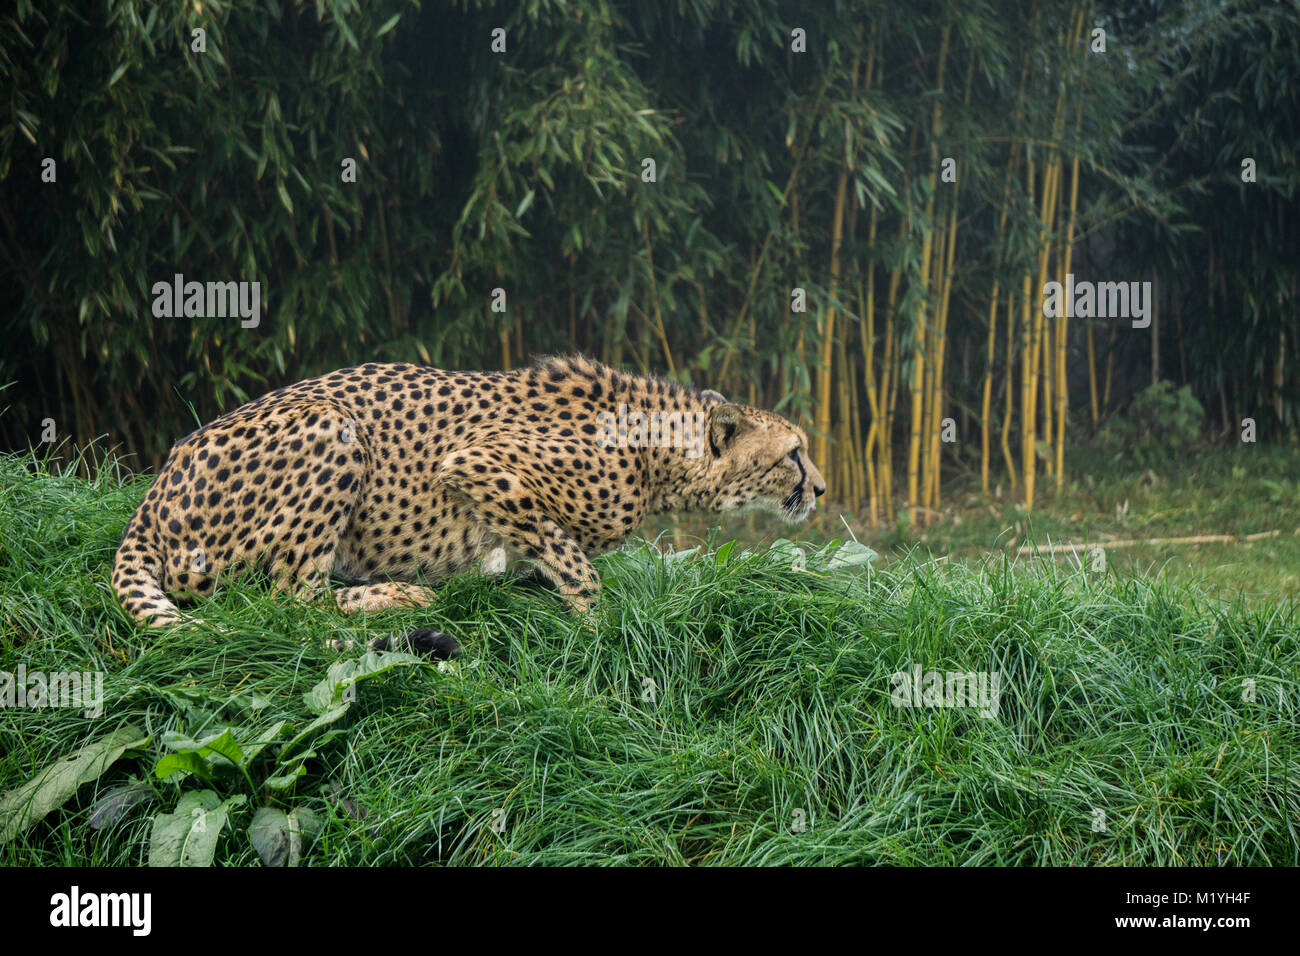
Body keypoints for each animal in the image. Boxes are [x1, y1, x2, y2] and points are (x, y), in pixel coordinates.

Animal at [111, 355, 826, 654]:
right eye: (795, 453)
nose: (819, 489)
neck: (658, 455)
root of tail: (152, 494)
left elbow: (544, 556)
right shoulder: (474, 464)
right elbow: (575, 562)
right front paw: (596, 624)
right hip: (332, 428)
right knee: (289, 599)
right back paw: (404, 596)